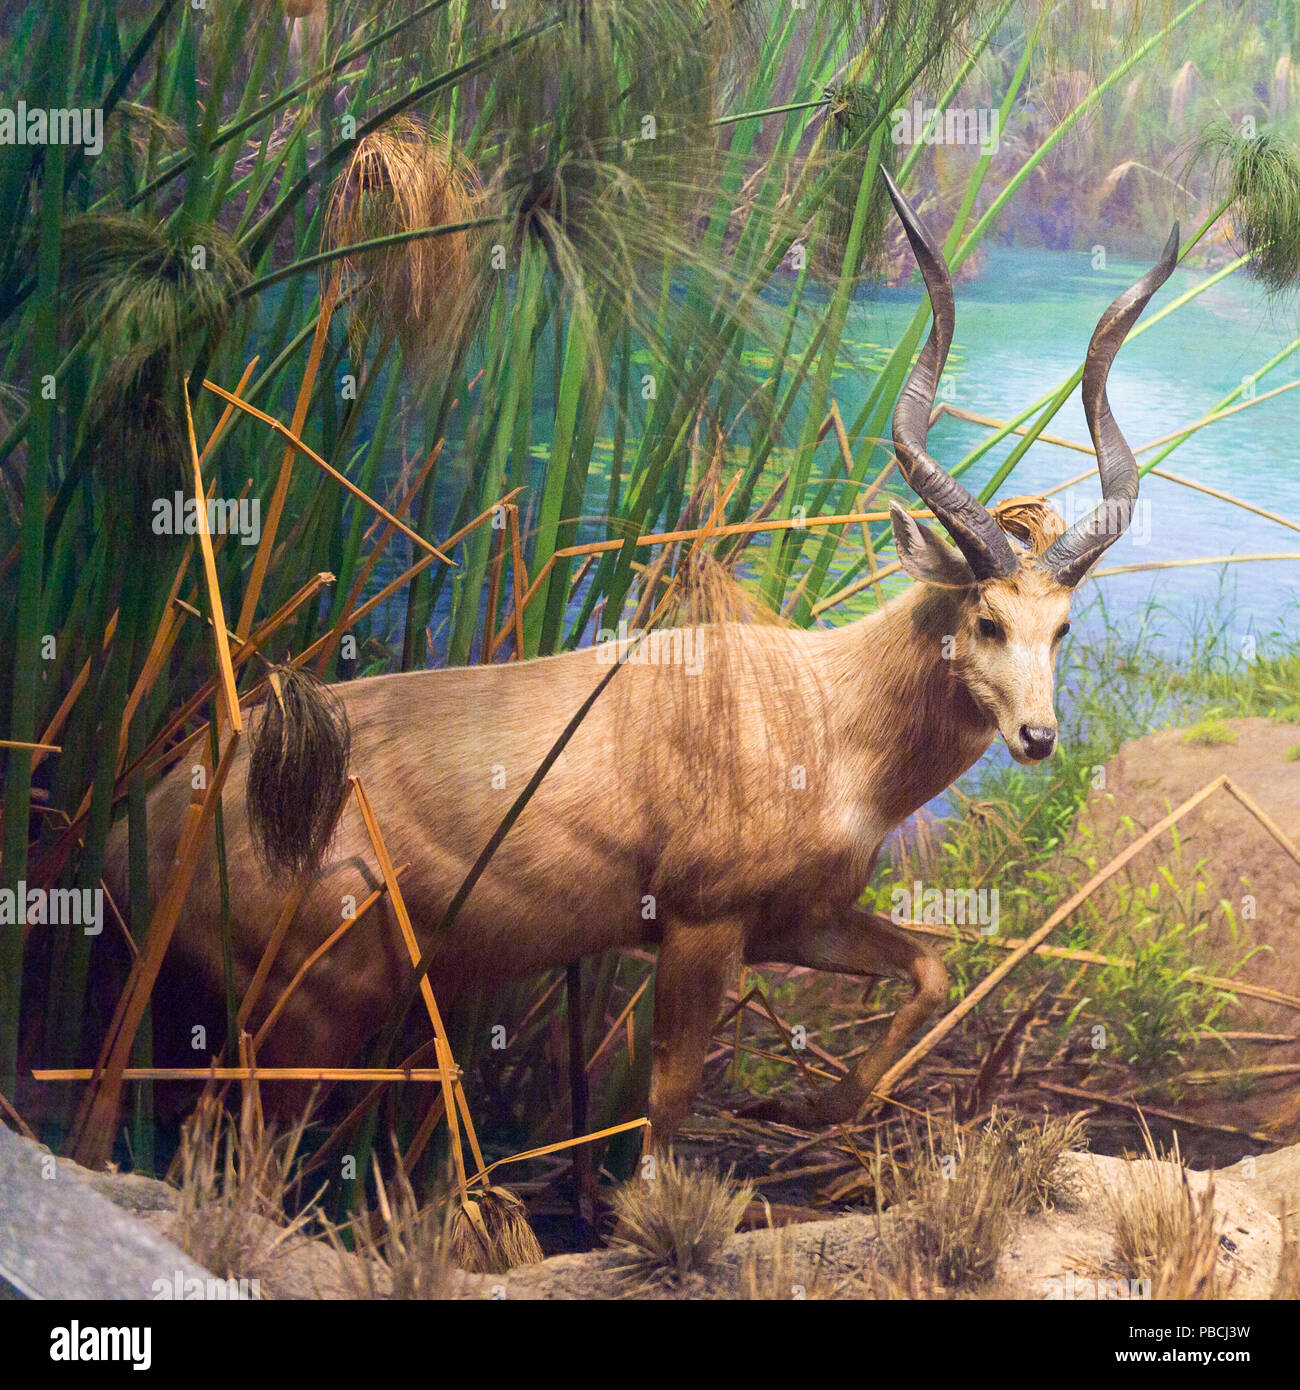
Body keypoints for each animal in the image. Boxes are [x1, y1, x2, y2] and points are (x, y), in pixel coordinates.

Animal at [105, 175, 1177, 1140]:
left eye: (1062, 627)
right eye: (986, 619)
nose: (1038, 736)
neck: (821, 716)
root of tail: (157, 816)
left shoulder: (798, 921)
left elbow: (931, 966)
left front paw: (804, 1107)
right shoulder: (702, 926)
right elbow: (665, 1107)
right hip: (315, 1009)